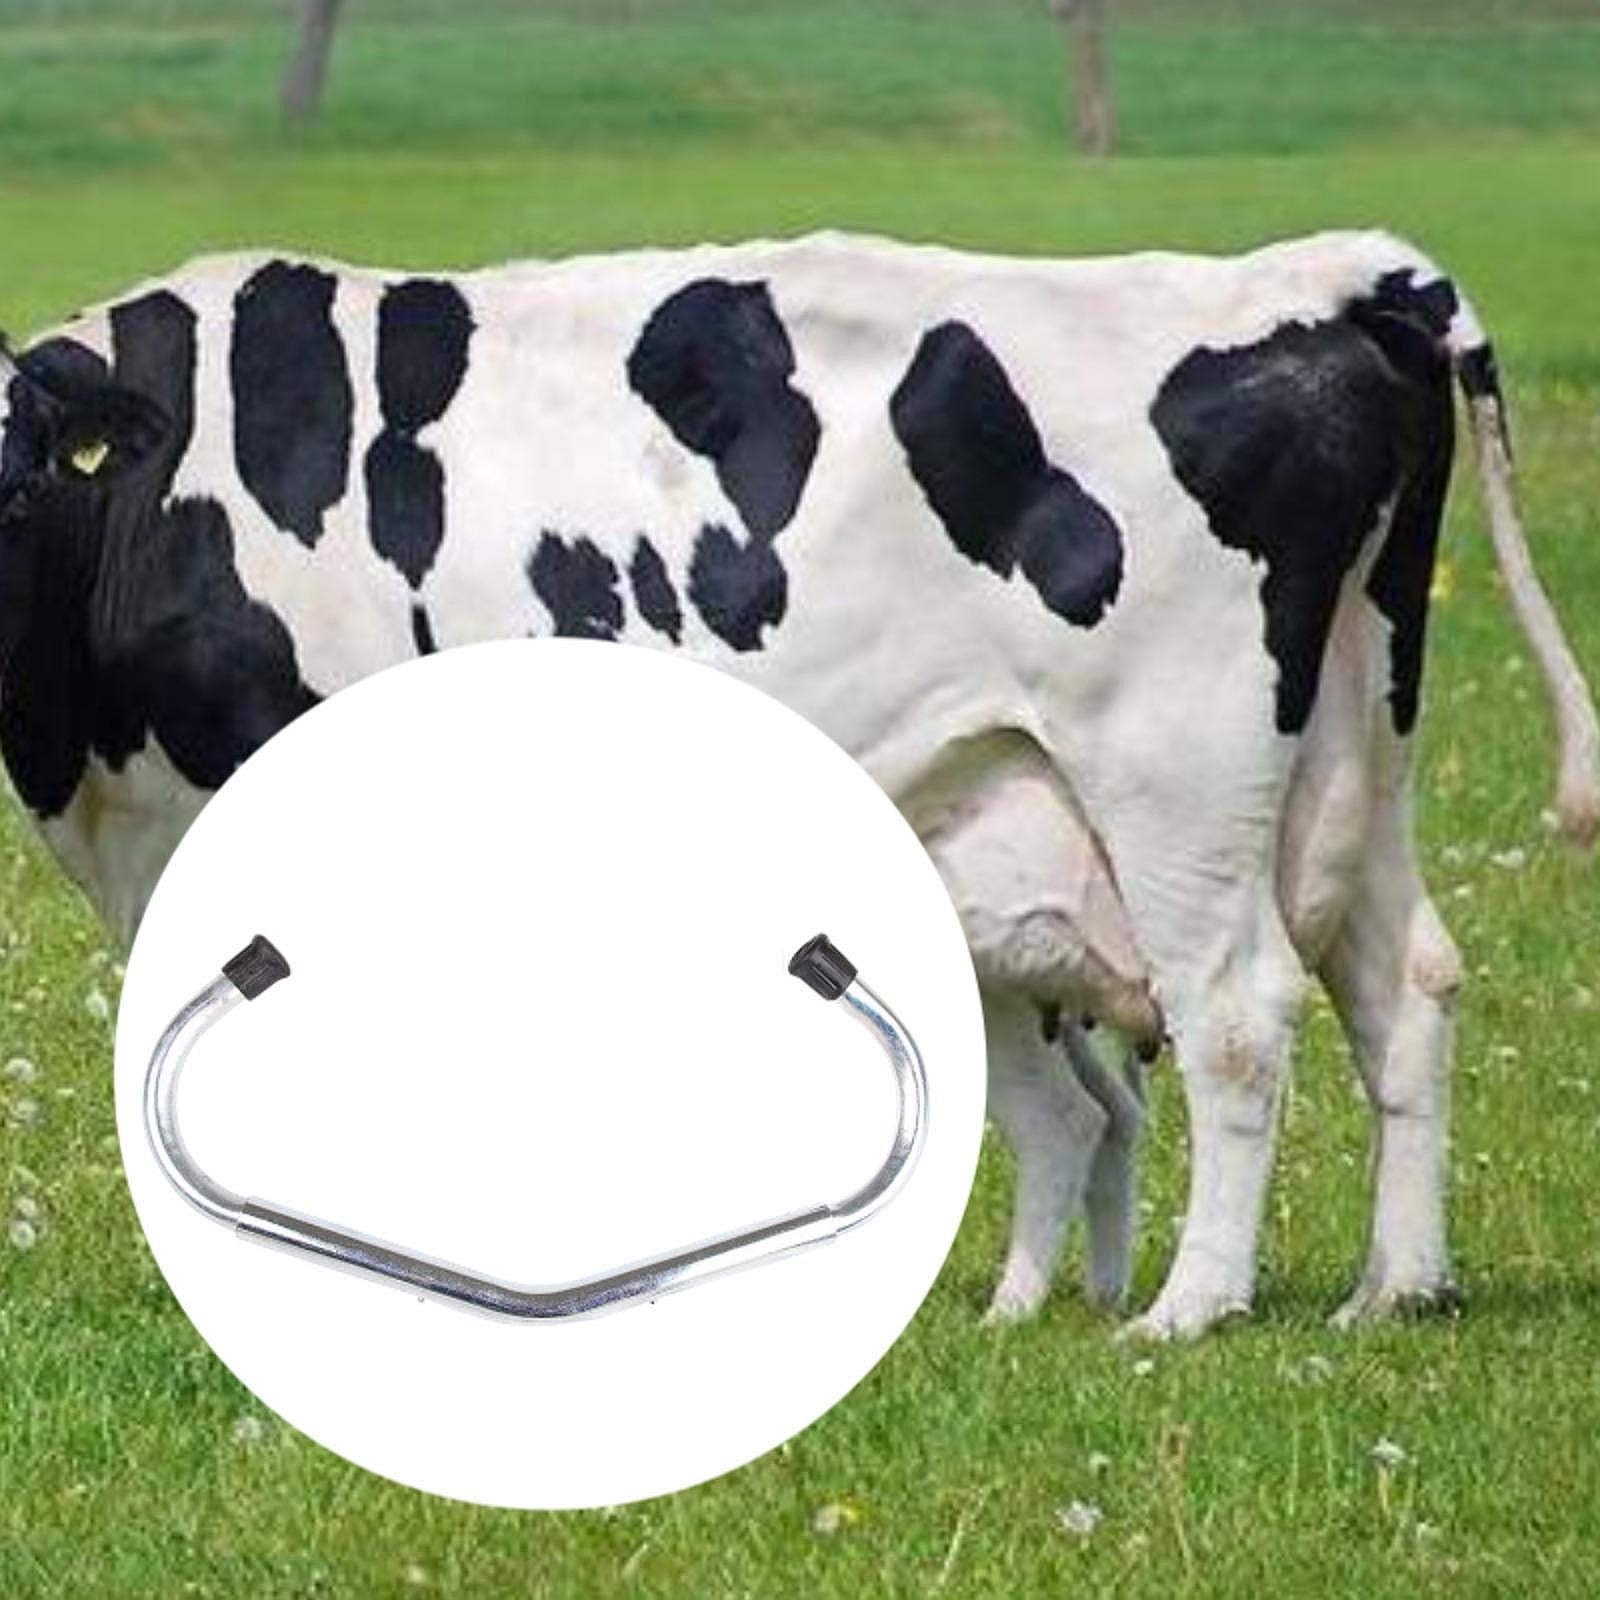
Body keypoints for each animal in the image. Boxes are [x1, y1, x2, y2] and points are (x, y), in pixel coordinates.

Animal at [1, 230, 1593, 1338]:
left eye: (11, 478)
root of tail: (1324, 275)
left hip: (1176, 768)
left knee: (1242, 1014)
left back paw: (1190, 1308)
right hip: (1352, 744)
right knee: (1405, 984)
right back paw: (1394, 1291)